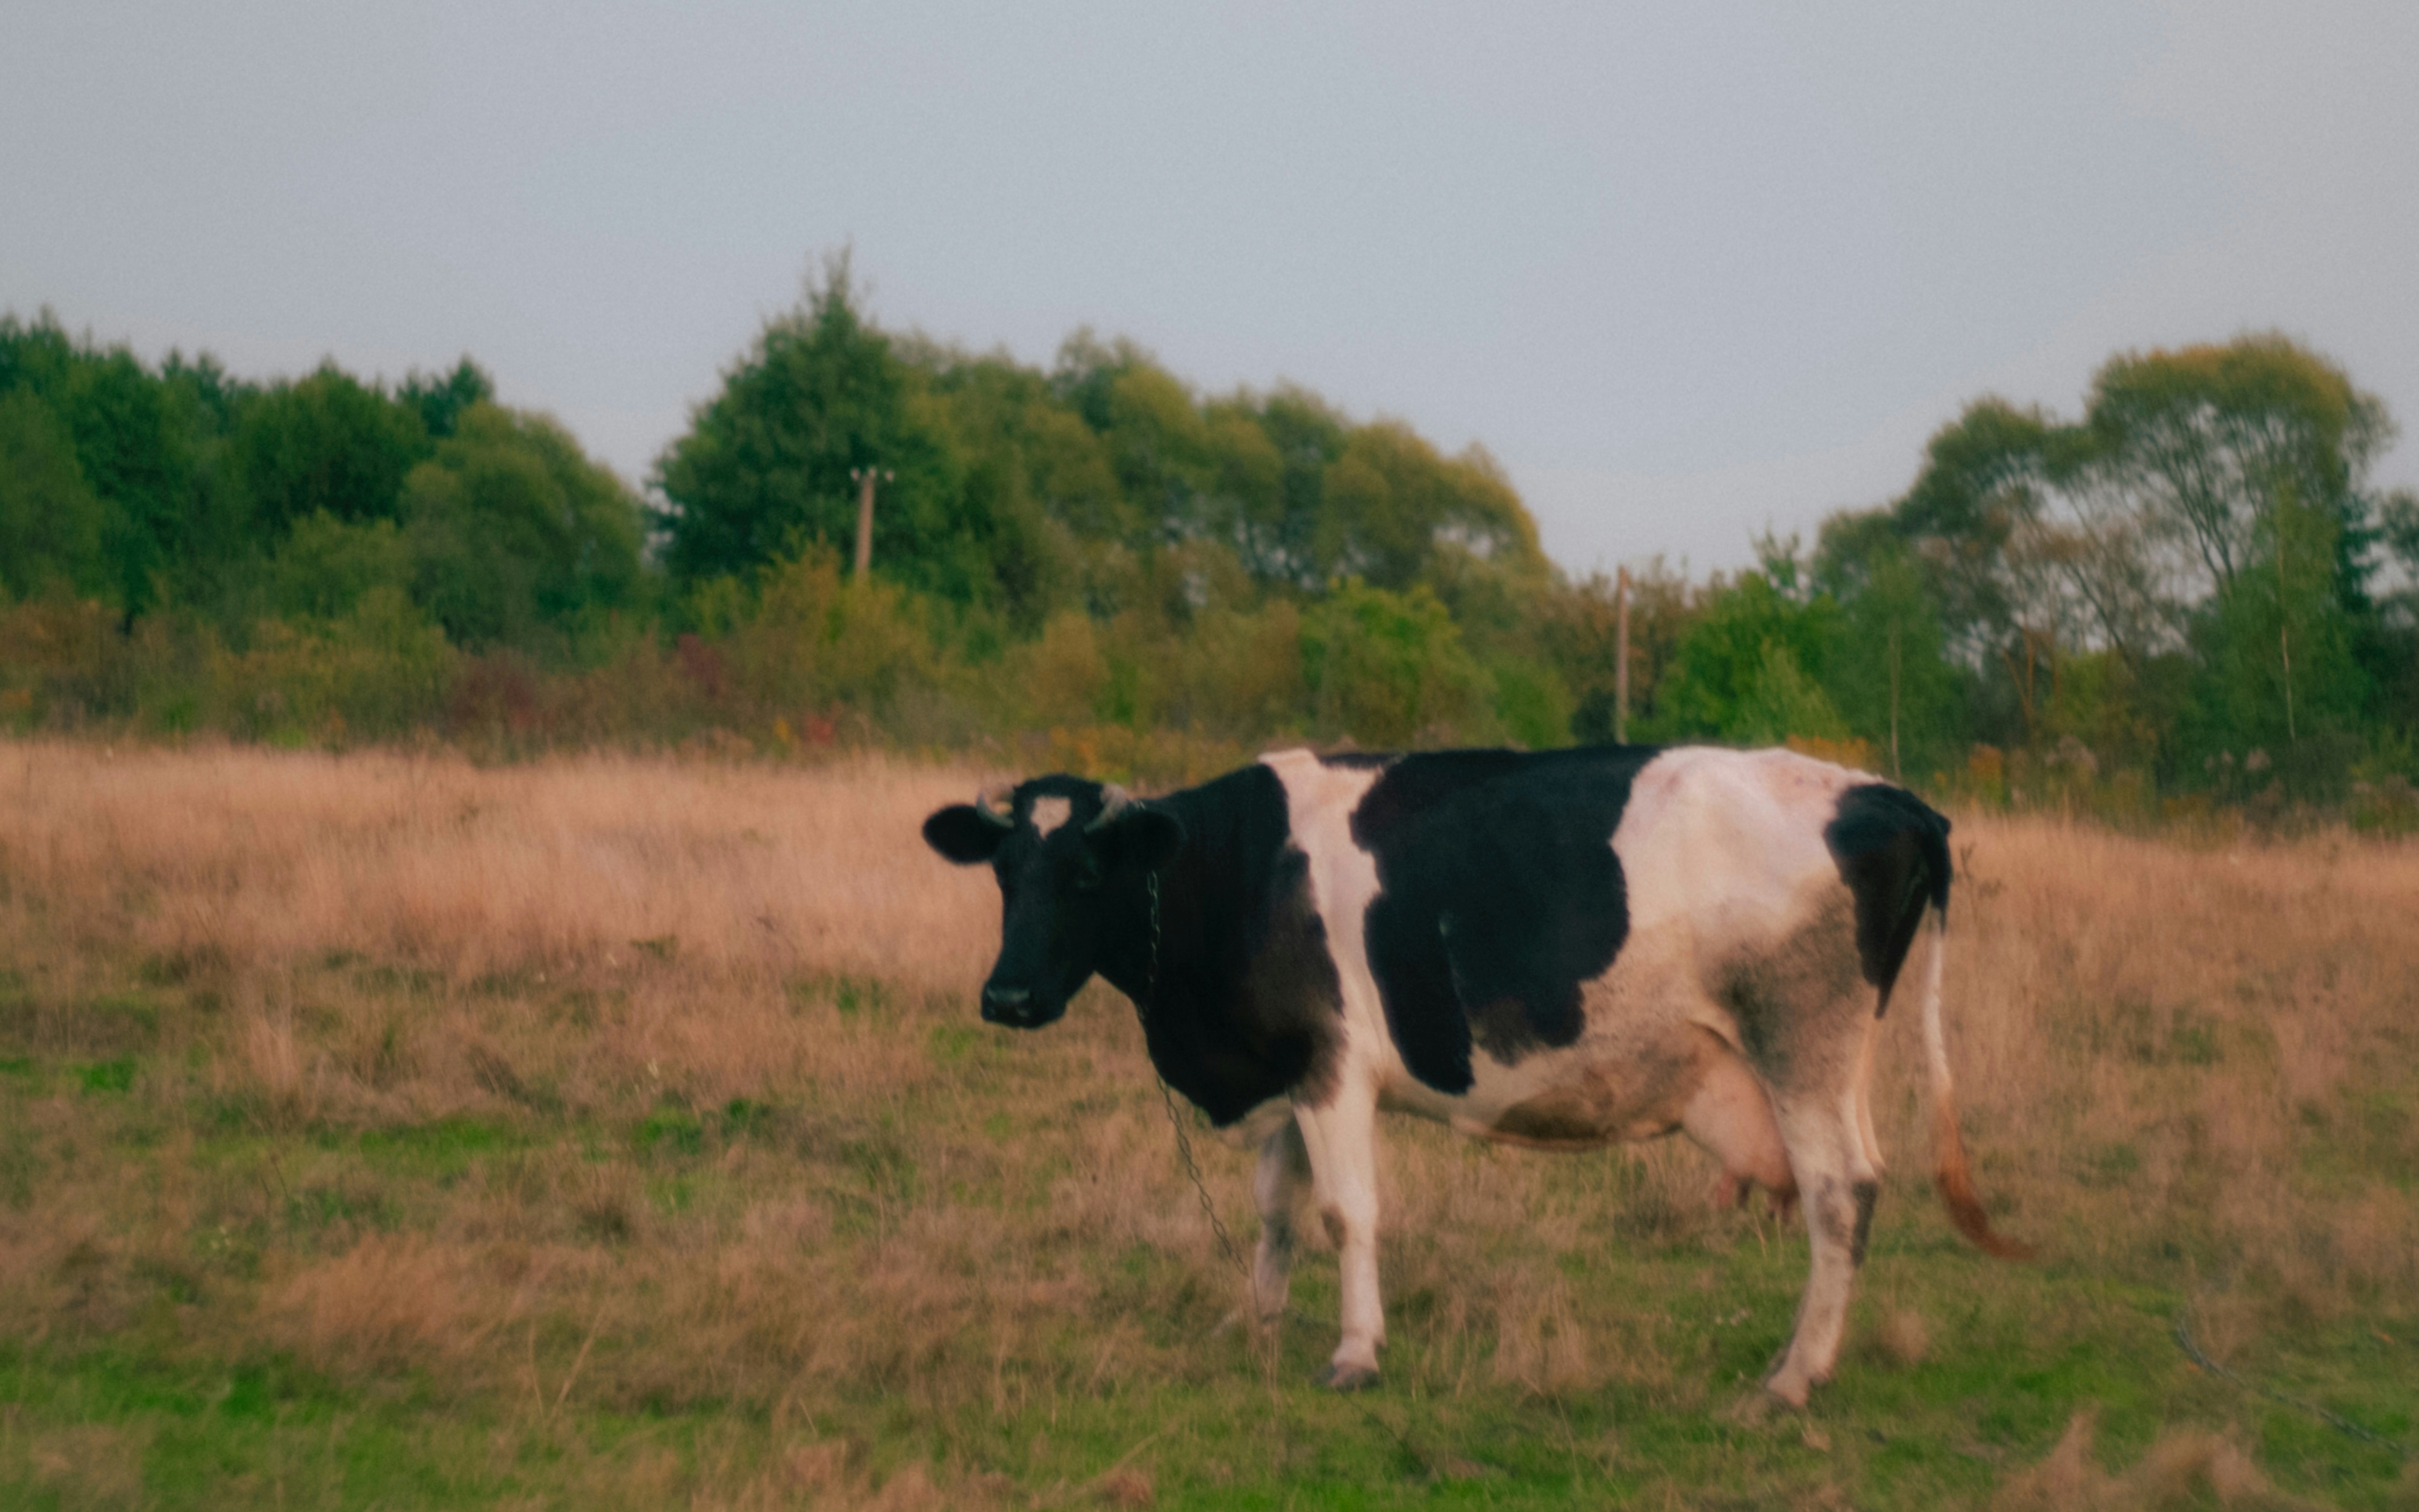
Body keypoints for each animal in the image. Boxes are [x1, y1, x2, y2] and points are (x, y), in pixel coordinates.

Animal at [921, 743, 2024, 1409]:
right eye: (1004, 872)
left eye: (1086, 873)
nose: (1007, 995)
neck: (1240, 870)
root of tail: (1886, 795)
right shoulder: (1294, 1065)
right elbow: (1279, 1206)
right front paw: (1257, 1319)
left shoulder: (1333, 1063)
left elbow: (1347, 1213)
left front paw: (1355, 1352)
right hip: (1830, 1061)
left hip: (1801, 1046)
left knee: (1841, 1194)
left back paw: (1793, 1377)